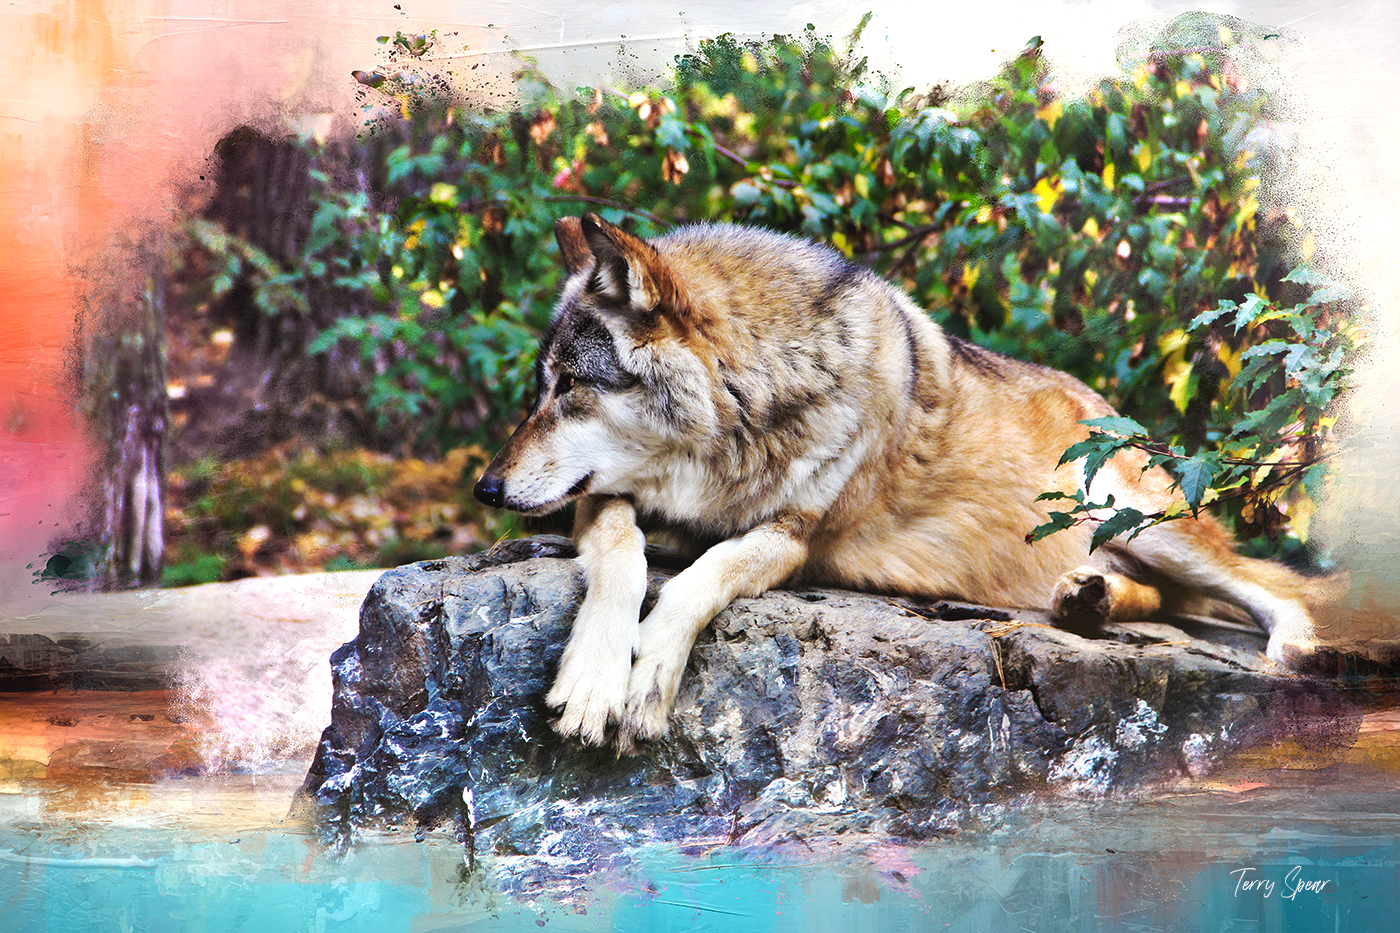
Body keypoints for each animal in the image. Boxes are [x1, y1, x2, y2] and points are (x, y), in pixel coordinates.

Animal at [473, 213, 1326, 753]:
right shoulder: (602, 498)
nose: (486, 488)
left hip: (1139, 516)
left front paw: (647, 677)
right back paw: (1084, 601)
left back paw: (1290, 648)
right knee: (1160, 598)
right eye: (539, 388)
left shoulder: (792, 538)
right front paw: (593, 681)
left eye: (570, 386)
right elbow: (625, 554)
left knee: (1262, 589)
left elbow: (696, 580)